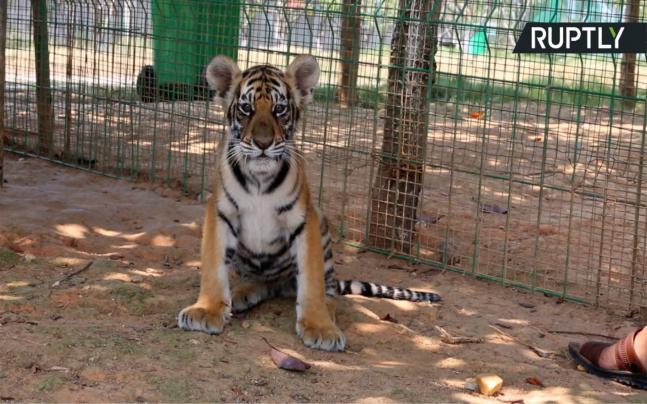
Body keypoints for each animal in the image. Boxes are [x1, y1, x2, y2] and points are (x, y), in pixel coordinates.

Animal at [177, 54, 441, 351]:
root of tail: (279, 284)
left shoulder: (305, 220)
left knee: (329, 291)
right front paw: (206, 310)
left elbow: (312, 281)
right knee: (260, 282)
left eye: (280, 109)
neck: (259, 178)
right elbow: (212, 267)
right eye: (246, 108)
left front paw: (319, 326)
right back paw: (243, 293)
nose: (263, 143)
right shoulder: (221, 212)